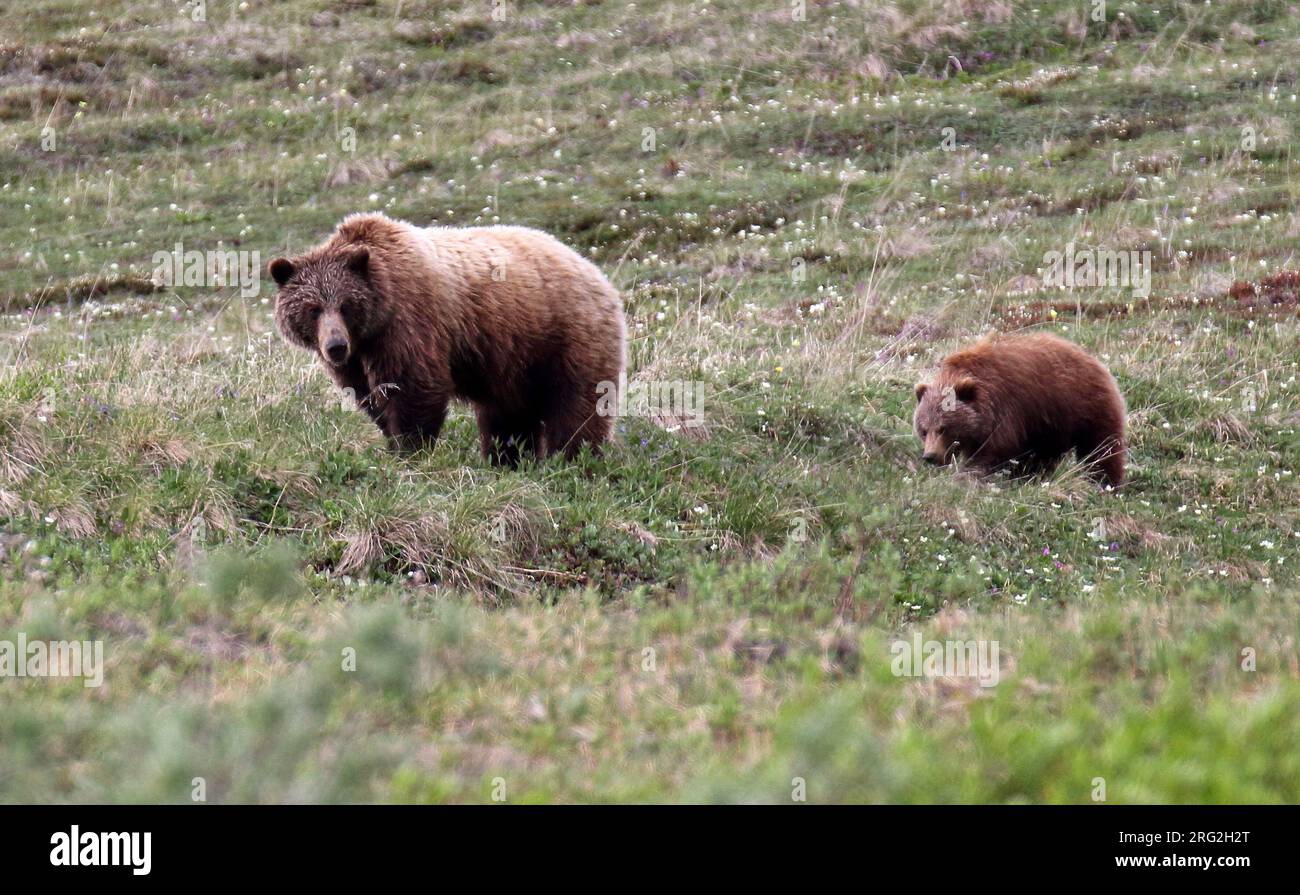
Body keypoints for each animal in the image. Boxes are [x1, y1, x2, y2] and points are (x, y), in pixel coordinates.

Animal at [268, 212, 626, 465]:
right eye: (313, 309)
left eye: (345, 304)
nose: (335, 346)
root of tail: (596, 272)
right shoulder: (358, 358)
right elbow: (369, 396)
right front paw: (390, 440)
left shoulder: (410, 325)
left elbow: (414, 388)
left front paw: (409, 450)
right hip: (517, 360)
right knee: (507, 417)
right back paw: (507, 460)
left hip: (568, 339)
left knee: (578, 408)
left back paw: (573, 460)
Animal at [912, 333, 1126, 486]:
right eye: (923, 430)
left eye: (943, 428)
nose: (930, 456)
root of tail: (1093, 360)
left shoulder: (1005, 409)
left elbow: (994, 451)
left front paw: (970, 475)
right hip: (1048, 426)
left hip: (1086, 407)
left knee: (1101, 448)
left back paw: (1105, 482)